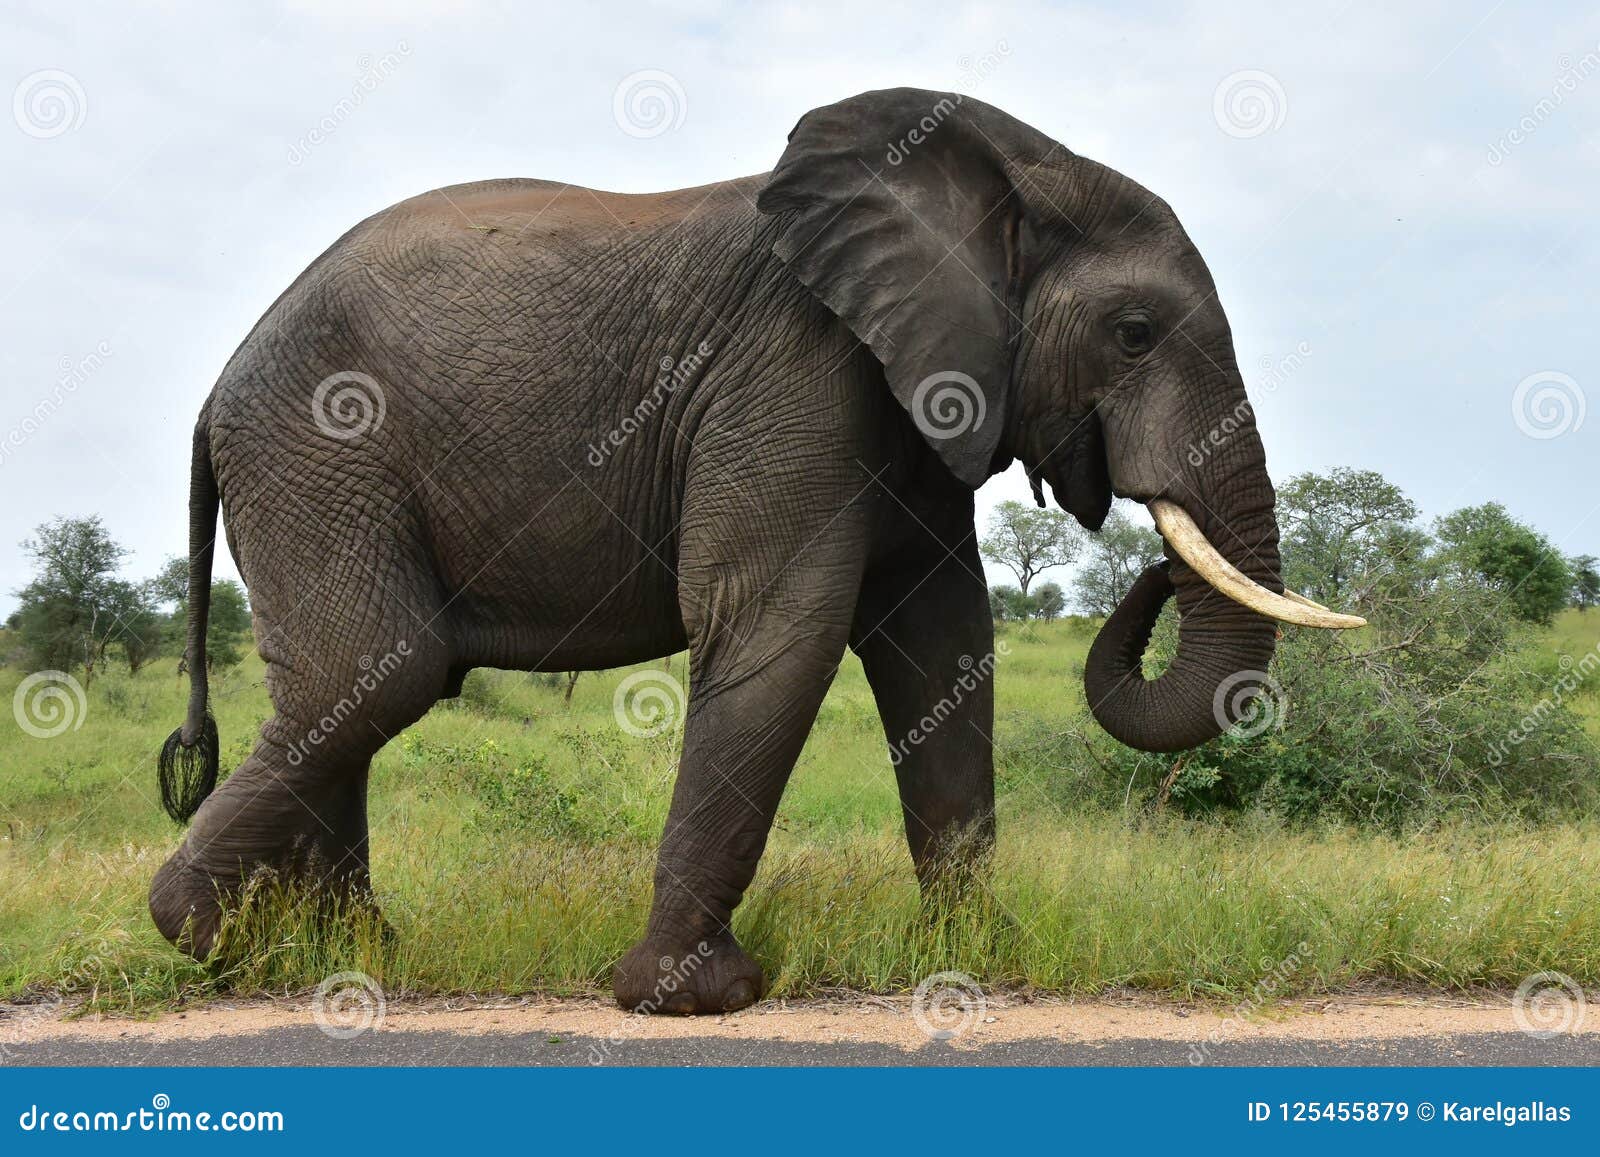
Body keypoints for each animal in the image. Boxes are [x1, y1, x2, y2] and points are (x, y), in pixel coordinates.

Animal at [150, 88, 1360, 1013]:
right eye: (1134, 335)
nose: (1149, 553)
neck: (1002, 173)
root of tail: (212, 392)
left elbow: (942, 642)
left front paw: (979, 958)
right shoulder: (794, 363)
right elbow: (782, 626)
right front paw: (690, 998)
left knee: (354, 691)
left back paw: (350, 956)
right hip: (319, 455)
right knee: (380, 670)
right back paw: (213, 939)